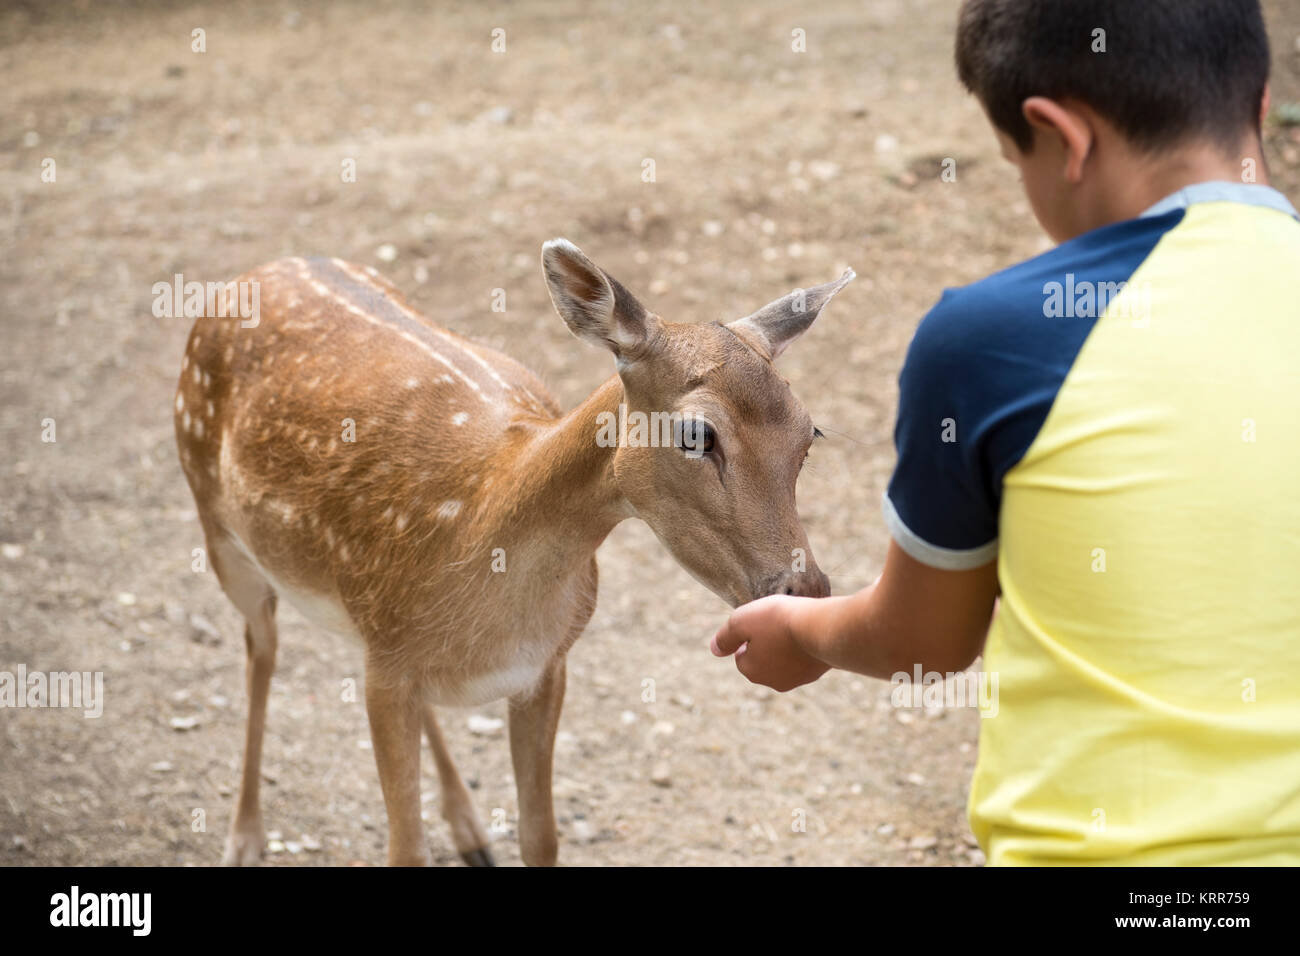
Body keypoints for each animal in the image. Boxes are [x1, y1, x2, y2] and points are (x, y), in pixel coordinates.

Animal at [173, 240, 853, 866]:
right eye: (695, 433)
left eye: (810, 431)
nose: (809, 590)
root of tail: (263, 268)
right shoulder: (388, 666)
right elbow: (405, 849)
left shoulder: (543, 666)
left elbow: (540, 838)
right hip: (217, 522)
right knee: (260, 648)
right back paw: (244, 838)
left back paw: (469, 830)